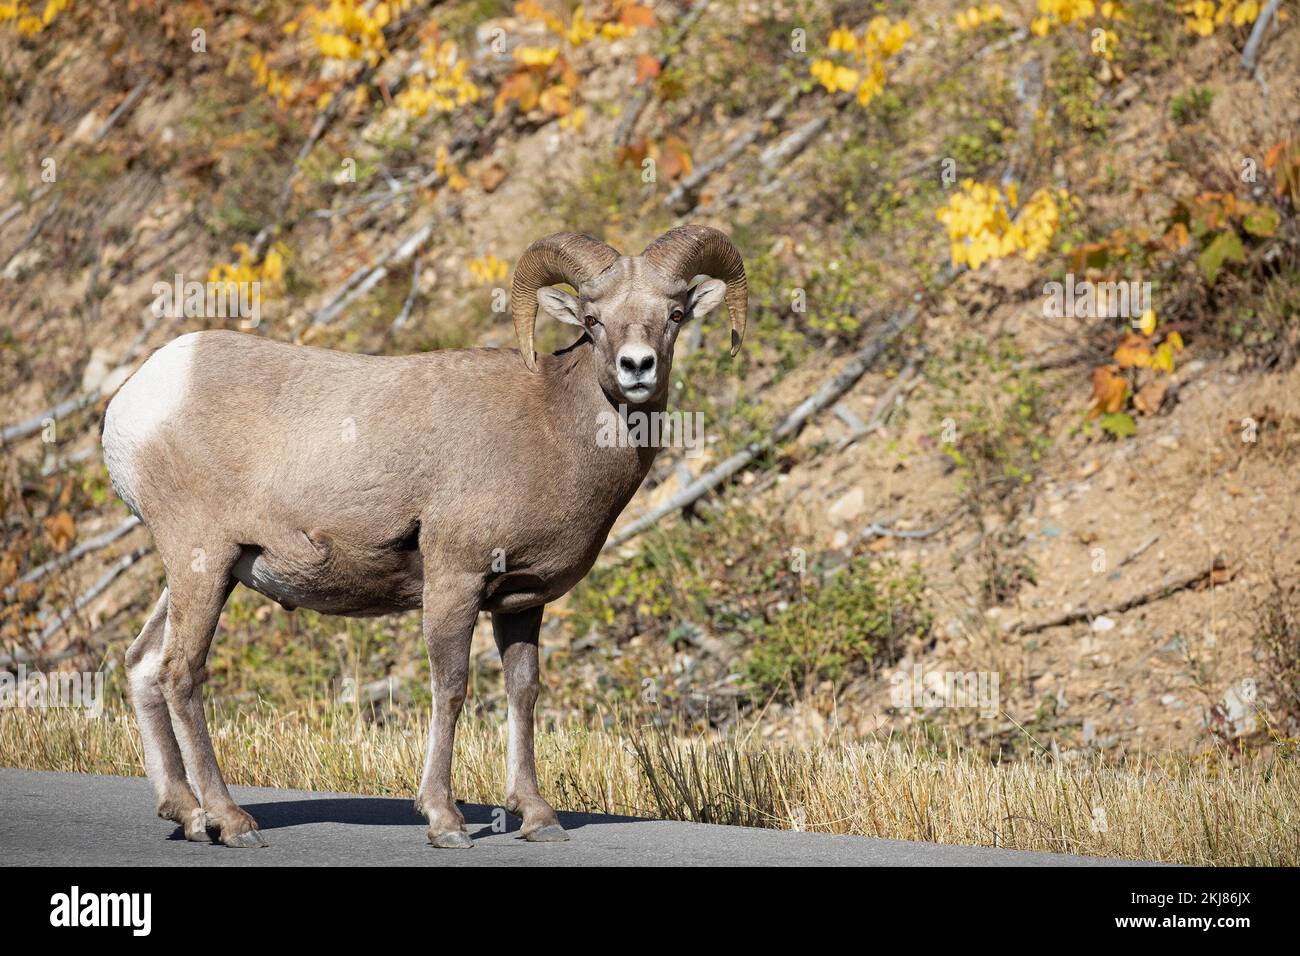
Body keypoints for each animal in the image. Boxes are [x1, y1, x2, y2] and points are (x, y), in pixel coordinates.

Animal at [101, 224, 747, 848]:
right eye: (593, 319)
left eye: (675, 314)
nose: (637, 368)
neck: (553, 428)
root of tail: (133, 401)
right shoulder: (454, 580)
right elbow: (452, 689)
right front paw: (445, 821)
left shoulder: (520, 602)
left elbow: (523, 691)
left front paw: (537, 817)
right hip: (202, 561)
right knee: (181, 672)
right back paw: (232, 823)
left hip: (203, 573)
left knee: (142, 663)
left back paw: (187, 815)